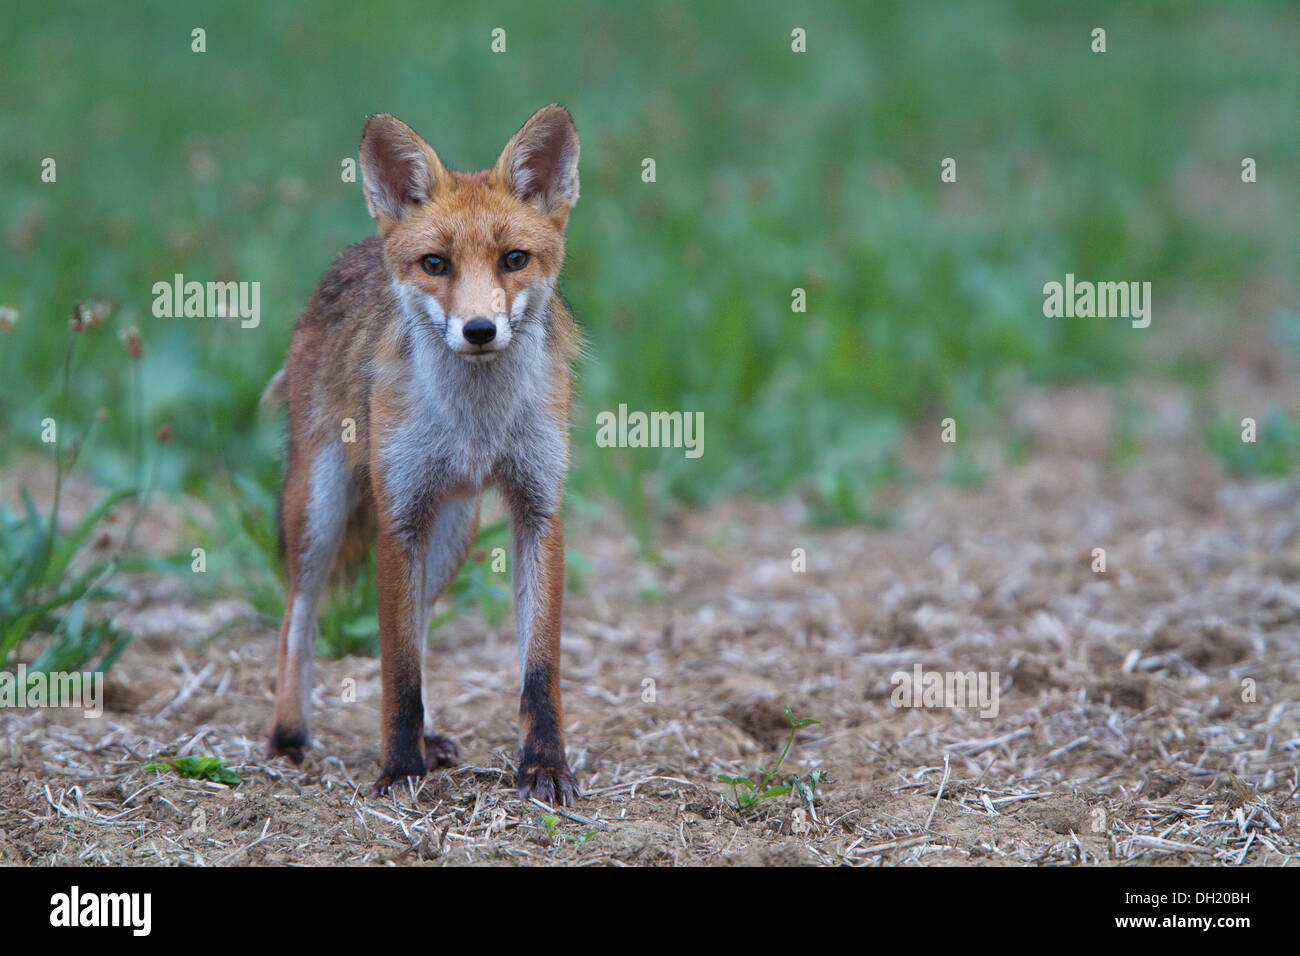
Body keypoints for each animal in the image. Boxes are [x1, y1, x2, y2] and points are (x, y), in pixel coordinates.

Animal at [265, 105, 583, 804]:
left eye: (514, 259)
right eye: (435, 263)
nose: (479, 330)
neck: (477, 423)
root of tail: (356, 253)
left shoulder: (539, 506)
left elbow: (538, 668)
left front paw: (545, 766)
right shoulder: (399, 519)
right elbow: (397, 669)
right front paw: (399, 769)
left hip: (454, 533)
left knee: (423, 624)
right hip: (320, 509)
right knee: (297, 619)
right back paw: (288, 736)